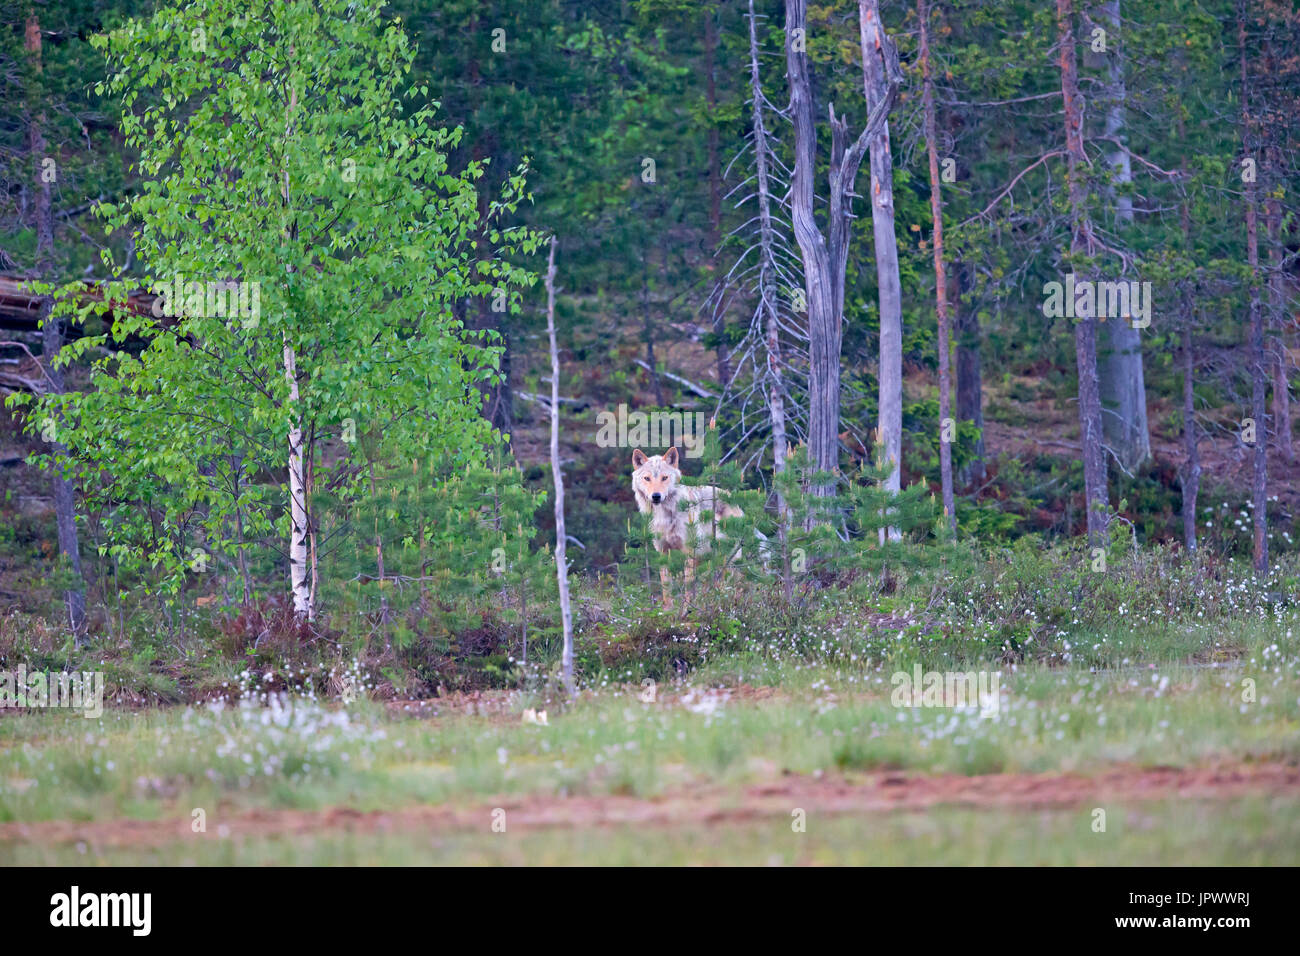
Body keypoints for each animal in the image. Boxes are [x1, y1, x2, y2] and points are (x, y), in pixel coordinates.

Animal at [631, 446, 746, 608]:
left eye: (664, 478)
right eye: (647, 478)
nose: (656, 496)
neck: (664, 517)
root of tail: (735, 501)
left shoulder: (689, 552)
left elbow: (688, 589)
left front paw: (687, 610)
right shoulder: (663, 552)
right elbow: (666, 588)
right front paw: (668, 610)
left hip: (729, 559)